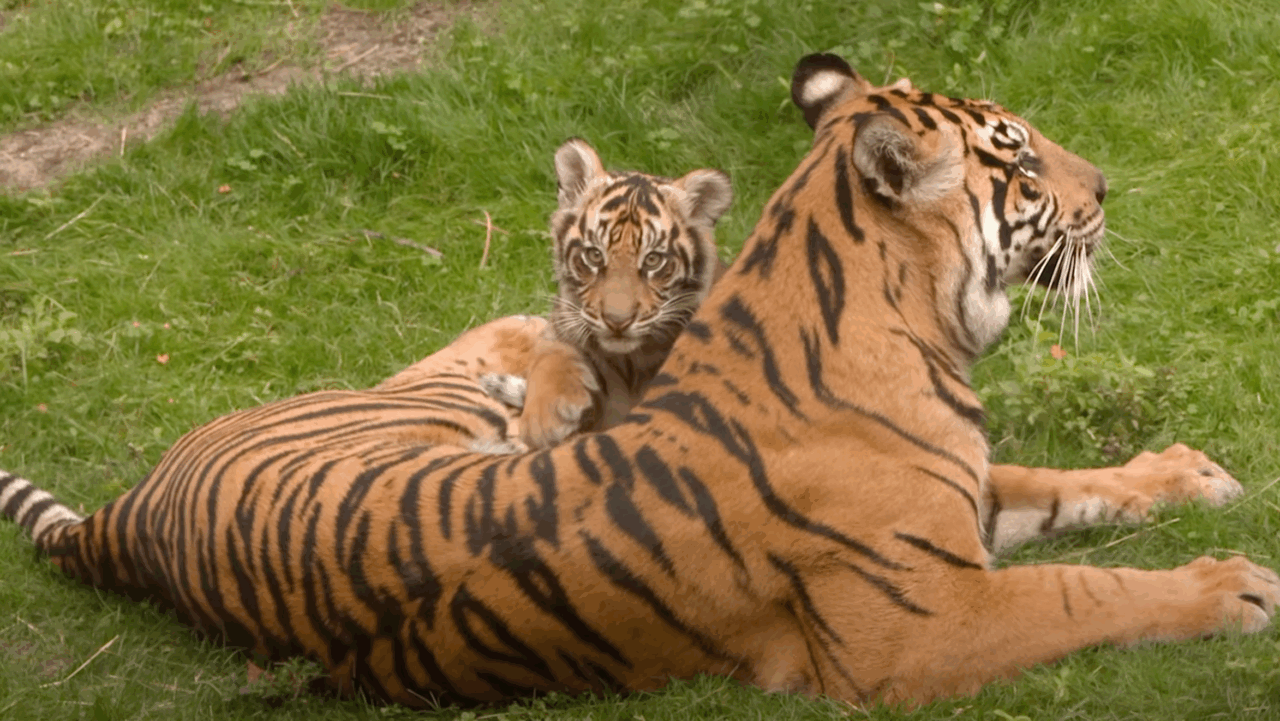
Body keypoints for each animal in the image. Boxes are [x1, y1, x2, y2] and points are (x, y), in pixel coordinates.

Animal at [479, 137, 732, 450]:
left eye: (653, 260)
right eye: (594, 255)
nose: (617, 322)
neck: (629, 362)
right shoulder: (564, 317)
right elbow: (550, 350)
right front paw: (544, 419)